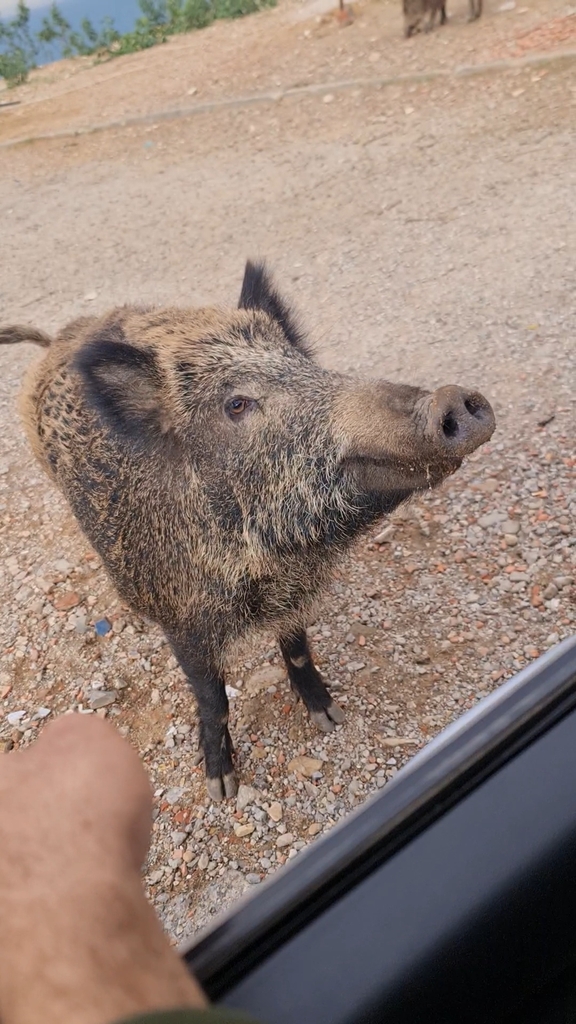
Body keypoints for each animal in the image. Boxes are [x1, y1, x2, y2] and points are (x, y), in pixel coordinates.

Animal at [0, 261, 495, 799]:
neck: (272, 562)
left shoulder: (296, 595)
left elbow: (297, 652)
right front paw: (223, 788)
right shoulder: (182, 623)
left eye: (306, 367)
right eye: (236, 404)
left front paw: (330, 718)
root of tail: (54, 342)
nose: (453, 398)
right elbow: (213, 698)